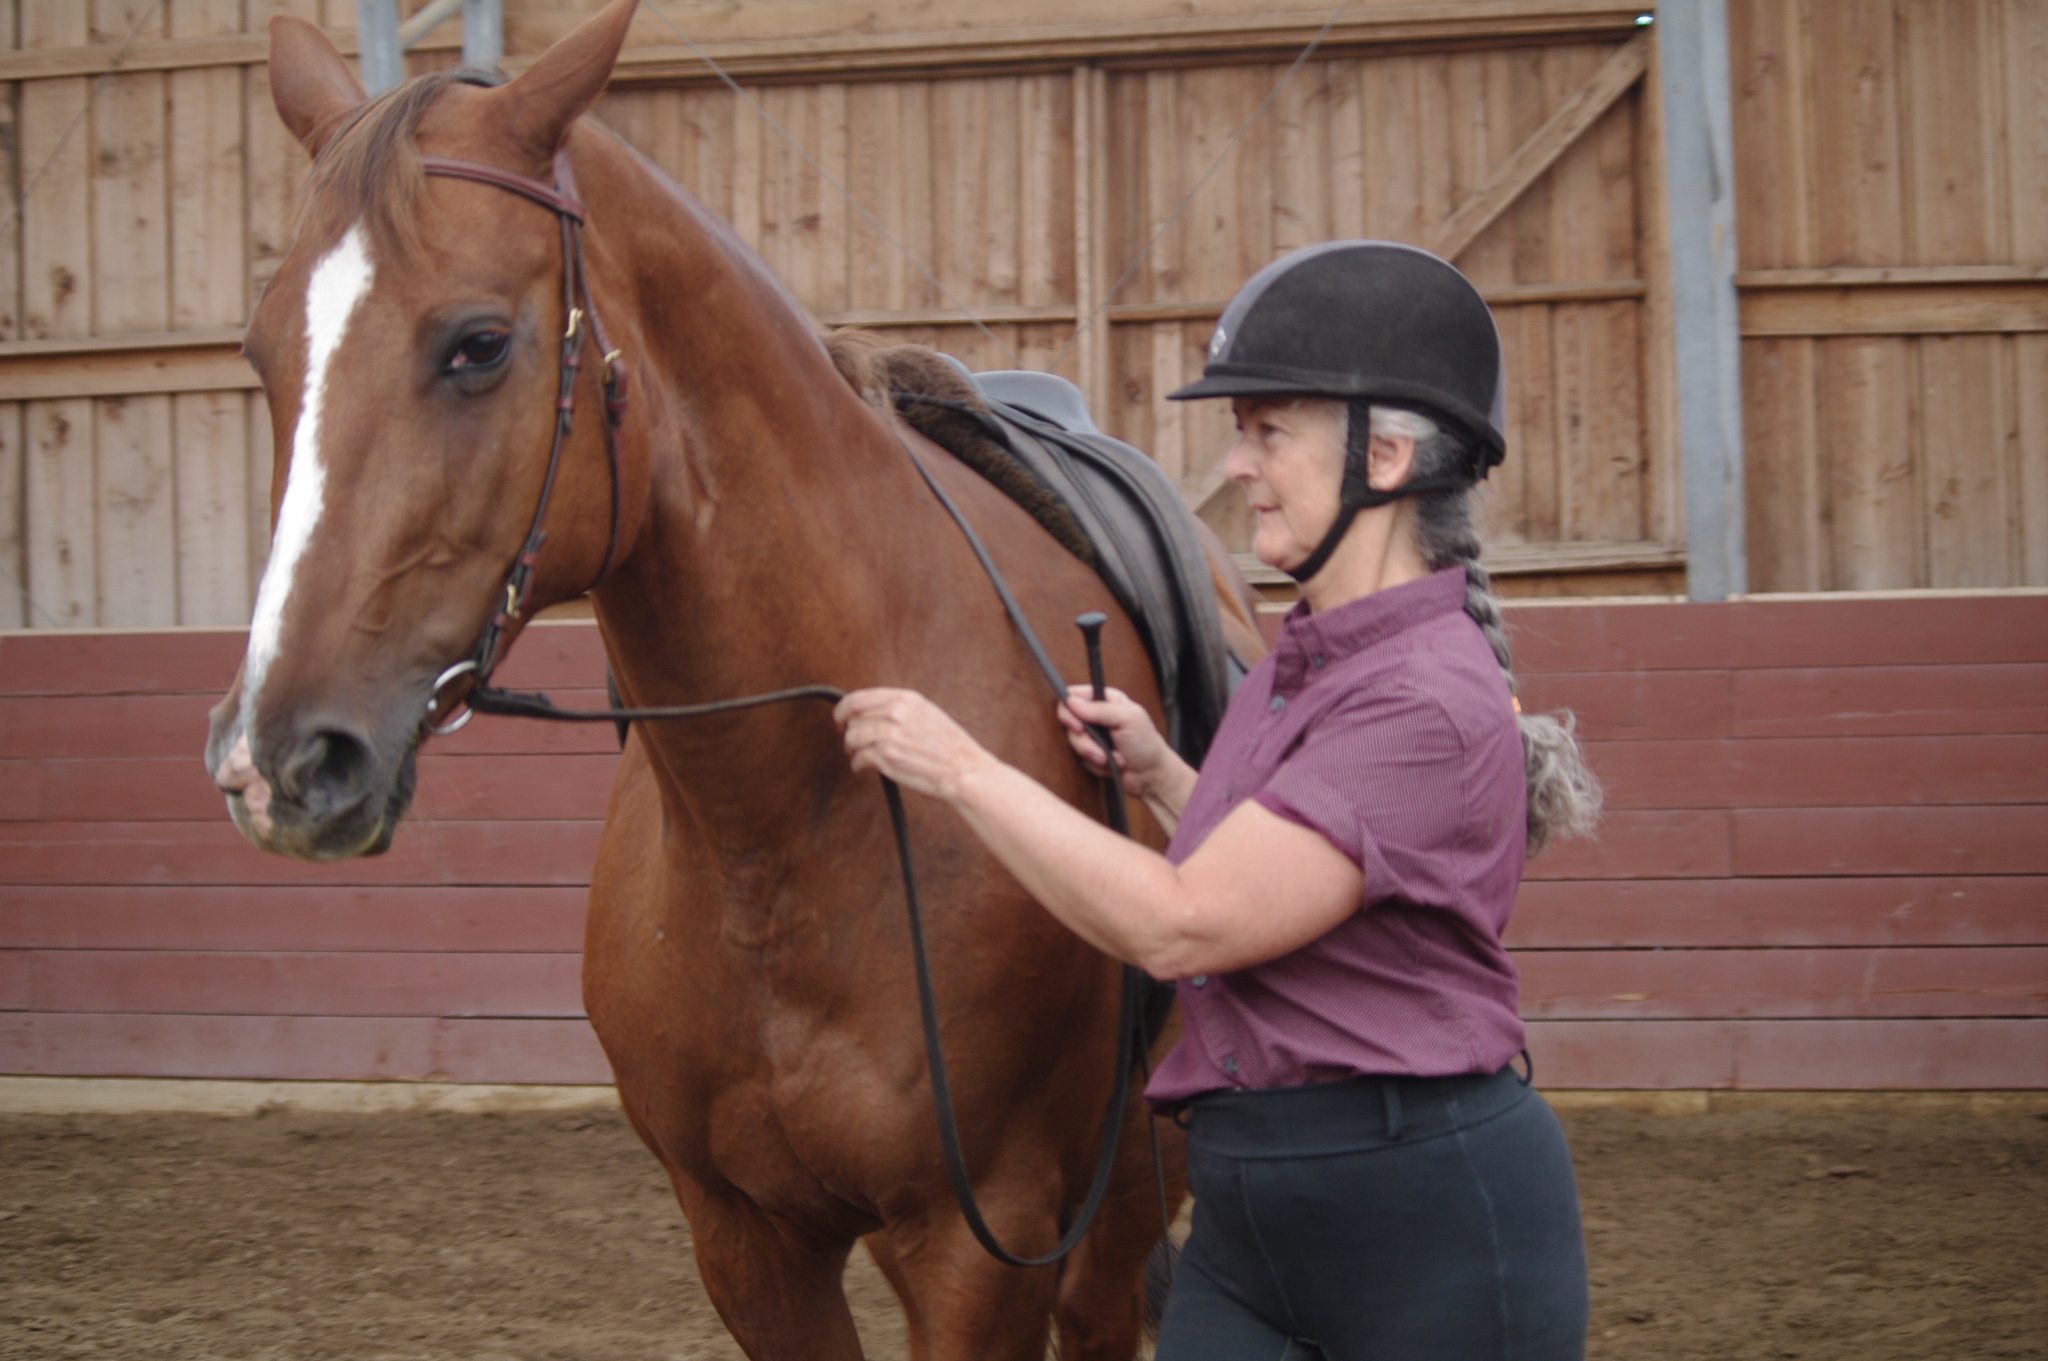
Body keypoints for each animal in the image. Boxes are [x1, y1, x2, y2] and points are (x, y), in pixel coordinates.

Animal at [206, 2, 1260, 1355]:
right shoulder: (746, 1243)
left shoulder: (984, 1244)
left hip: (1125, 1178)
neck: (791, 818)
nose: (280, 760)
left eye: (478, 343)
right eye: (261, 352)